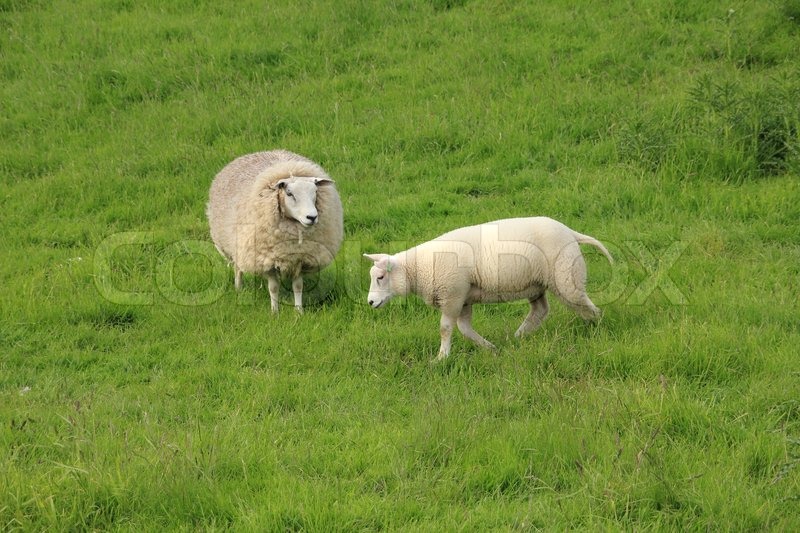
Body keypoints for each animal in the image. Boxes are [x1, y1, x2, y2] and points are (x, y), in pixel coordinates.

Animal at [207, 150, 343, 313]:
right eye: (289, 193)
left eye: (315, 191)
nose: (312, 217)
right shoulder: (267, 261)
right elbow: (273, 288)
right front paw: (275, 312)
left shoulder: (300, 259)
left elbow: (298, 287)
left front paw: (299, 311)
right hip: (238, 246)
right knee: (238, 268)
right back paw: (238, 289)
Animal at [364, 217, 613, 361]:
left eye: (380, 277)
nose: (370, 302)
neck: (418, 268)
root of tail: (571, 232)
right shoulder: (463, 298)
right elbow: (465, 329)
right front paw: (490, 348)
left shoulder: (452, 295)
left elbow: (445, 329)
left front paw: (441, 358)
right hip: (537, 284)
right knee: (541, 310)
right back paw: (519, 336)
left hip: (565, 276)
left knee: (584, 304)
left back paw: (596, 327)